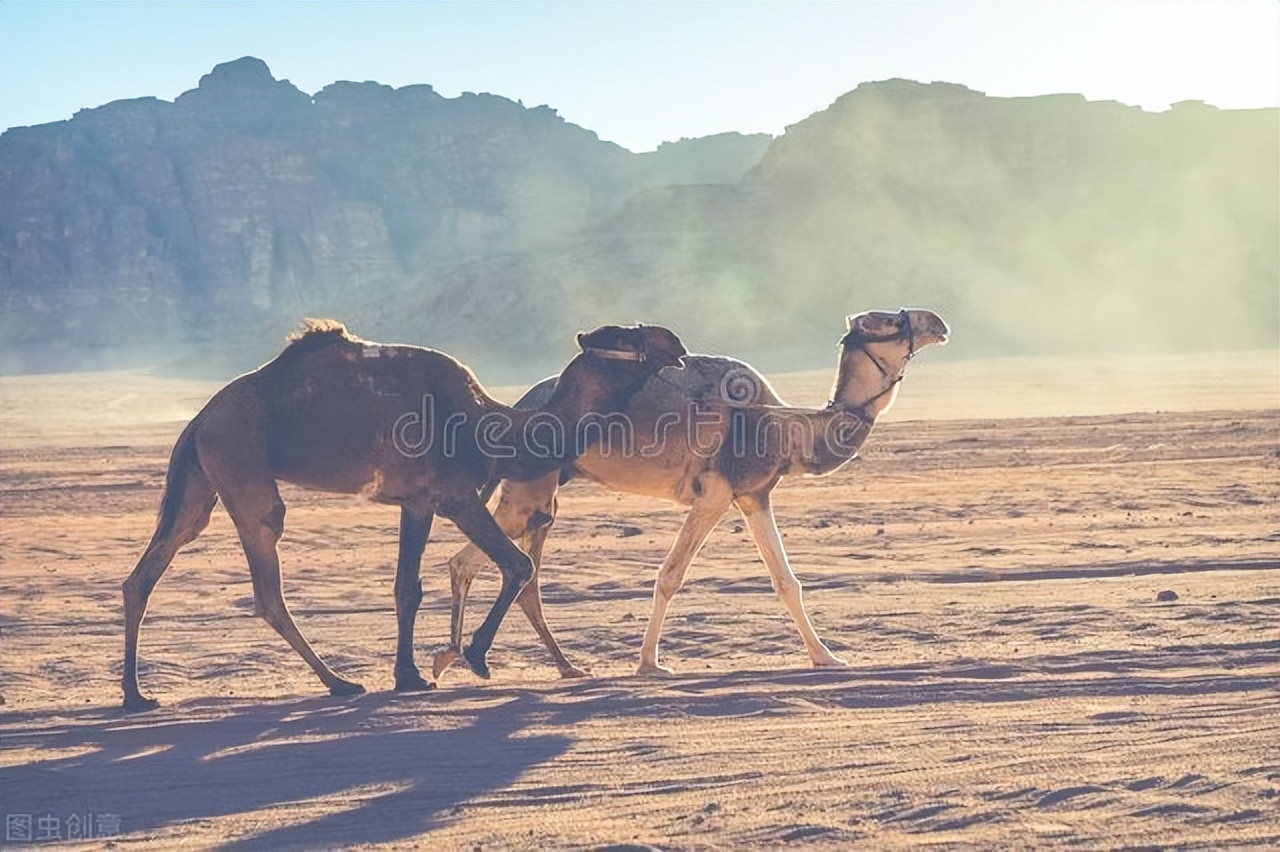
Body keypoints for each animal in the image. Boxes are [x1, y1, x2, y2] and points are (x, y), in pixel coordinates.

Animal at [121, 319, 686, 710]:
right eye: (628, 334)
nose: (676, 344)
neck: (491, 423)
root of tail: (198, 419)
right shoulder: (455, 495)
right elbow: (518, 564)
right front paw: (473, 658)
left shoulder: (417, 501)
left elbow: (406, 588)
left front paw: (410, 675)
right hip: (241, 463)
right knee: (266, 580)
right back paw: (338, 682)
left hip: (199, 481)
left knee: (148, 570)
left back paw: (135, 695)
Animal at [437, 308, 948, 677]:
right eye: (892, 322)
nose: (937, 323)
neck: (784, 427)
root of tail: (519, 405)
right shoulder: (715, 494)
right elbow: (670, 575)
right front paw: (649, 664)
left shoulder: (752, 495)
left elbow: (786, 581)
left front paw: (827, 657)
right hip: (530, 491)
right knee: (480, 562)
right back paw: (457, 661)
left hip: (537, 493)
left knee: (494, 565)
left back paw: (511, 664)